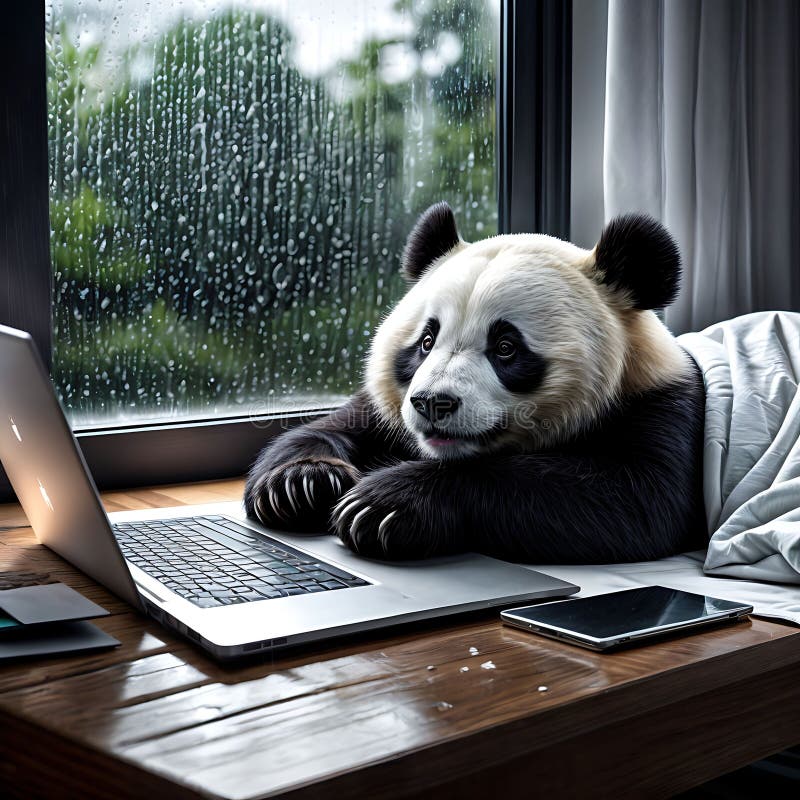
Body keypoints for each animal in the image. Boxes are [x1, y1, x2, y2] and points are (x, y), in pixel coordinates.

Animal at [245, 202, 707, 563]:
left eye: (505, 347)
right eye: (426, 341)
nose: (433, 403)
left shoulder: (661, 407)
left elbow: (633, 501)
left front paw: (381, 505)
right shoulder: (386, 413)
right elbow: (323, 430)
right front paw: (302, 484)